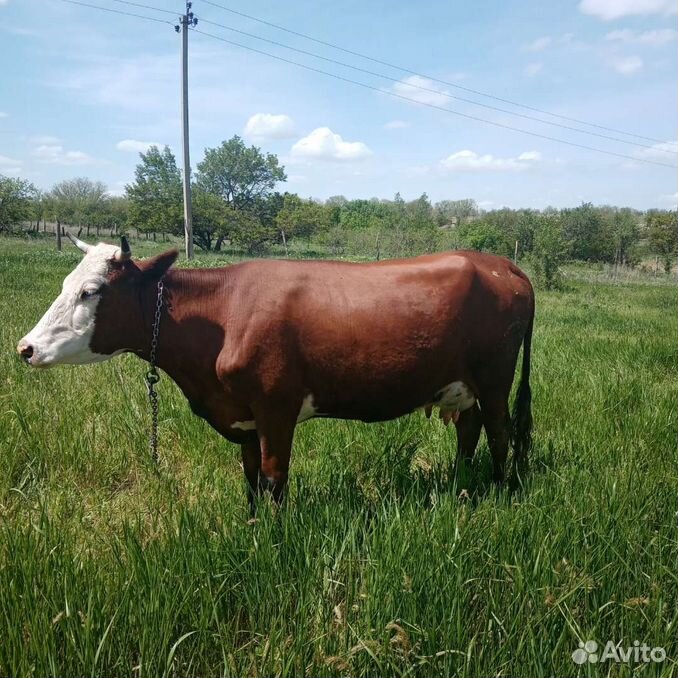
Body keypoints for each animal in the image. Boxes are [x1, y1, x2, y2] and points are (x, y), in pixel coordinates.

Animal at [17, 236, 534, 508]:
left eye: (90, 291)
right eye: (66, 283)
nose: (25, 348)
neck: (223, 317)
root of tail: (500, 263)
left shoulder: (276, 409)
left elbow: (273, 478)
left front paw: (275, 536)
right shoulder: (244, 415)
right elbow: (249, 479)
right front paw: (252, 526)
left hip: (495, 379)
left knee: (500, 433)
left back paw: (501, 491)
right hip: (463, 384)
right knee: (468, 430)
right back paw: (459, 484)